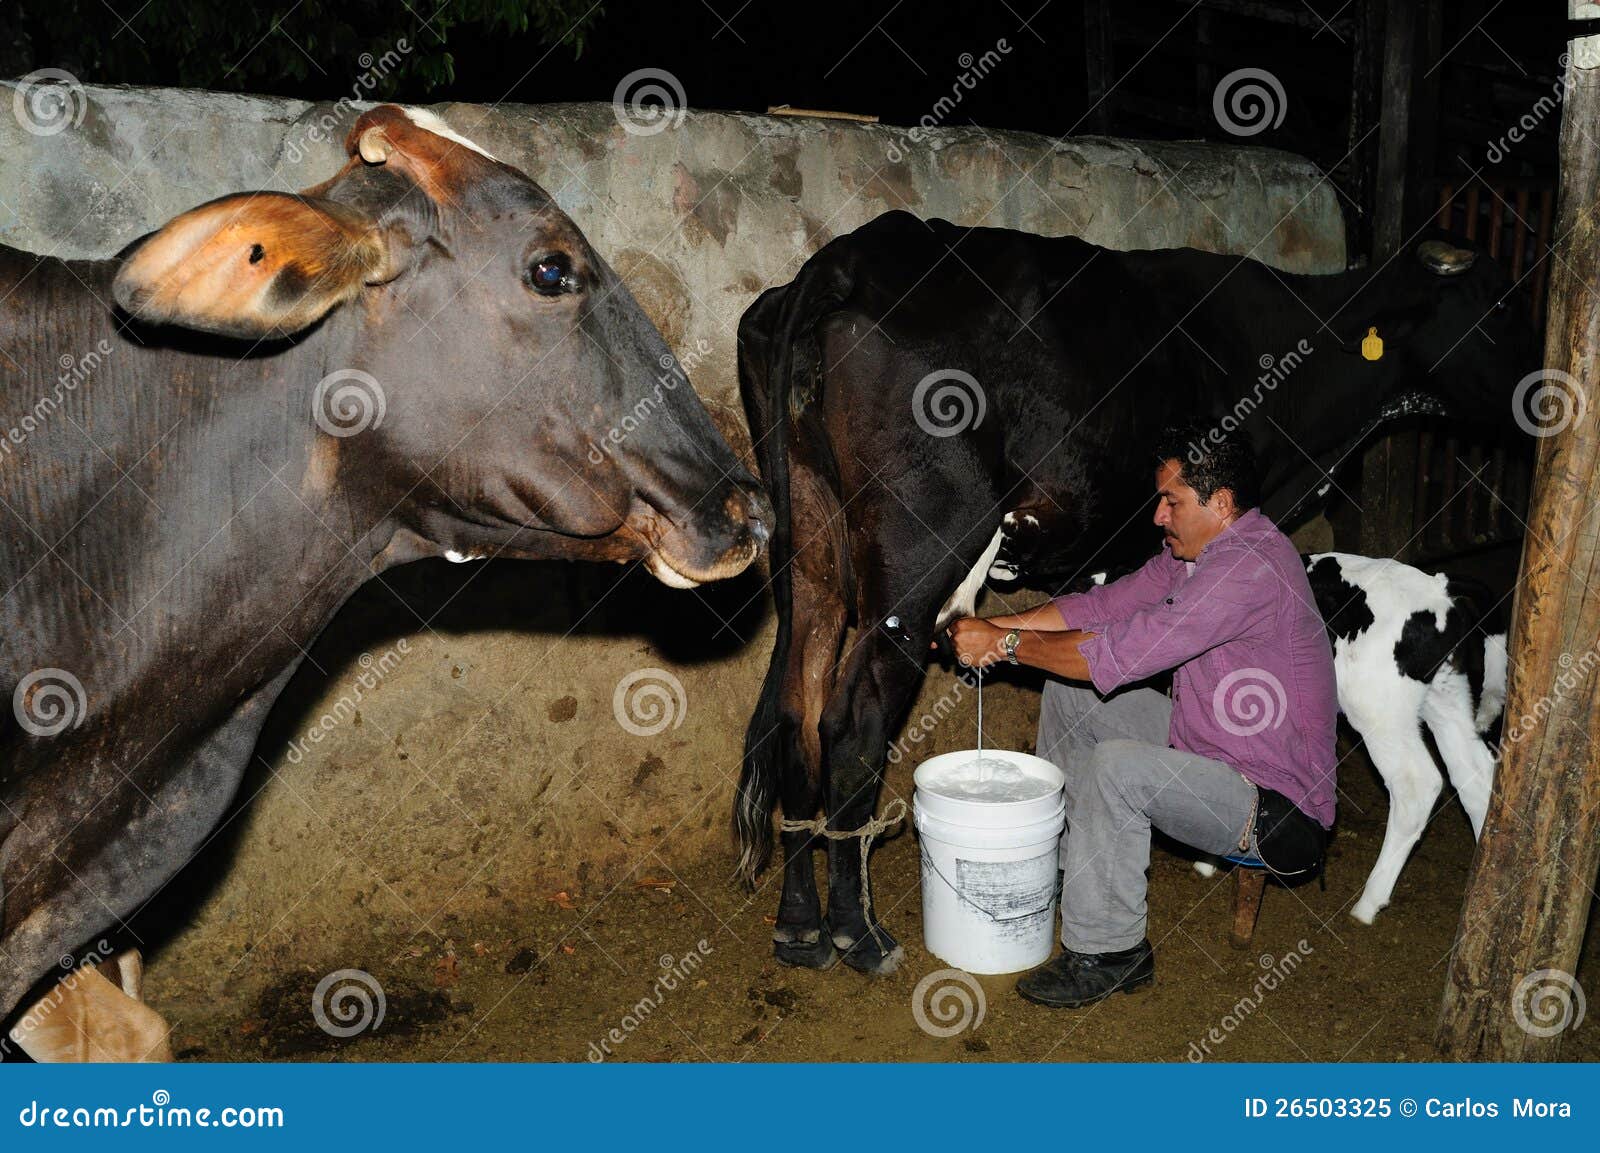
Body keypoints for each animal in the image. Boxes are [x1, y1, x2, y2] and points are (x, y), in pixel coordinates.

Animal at [731, 209, 1526, 974]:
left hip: (811, 551)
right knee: (852, 722)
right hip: (920, 549)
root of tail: (850, 255)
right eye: (1496, 305)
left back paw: (798, 927)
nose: (1539, 391)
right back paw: (858, 933)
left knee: (795, 713)